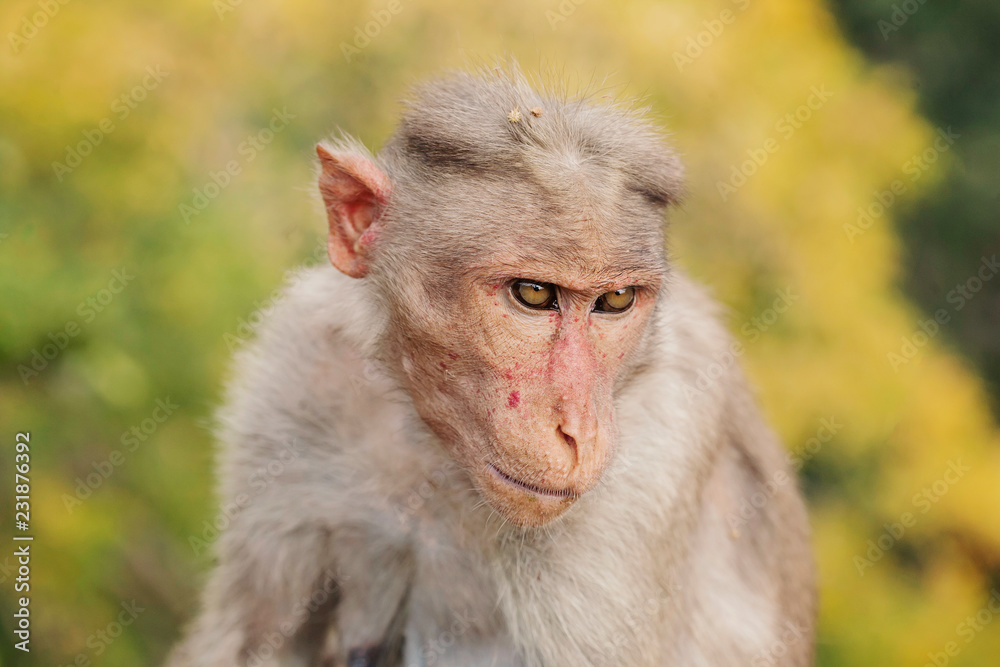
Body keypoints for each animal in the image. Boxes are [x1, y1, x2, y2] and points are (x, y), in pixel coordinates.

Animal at [168, 64, 816, 667]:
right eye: (533, 294)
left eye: (615, 301)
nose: (581, 432)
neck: (437, 445)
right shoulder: (294, 373)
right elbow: (254, 639)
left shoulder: (651, 463)